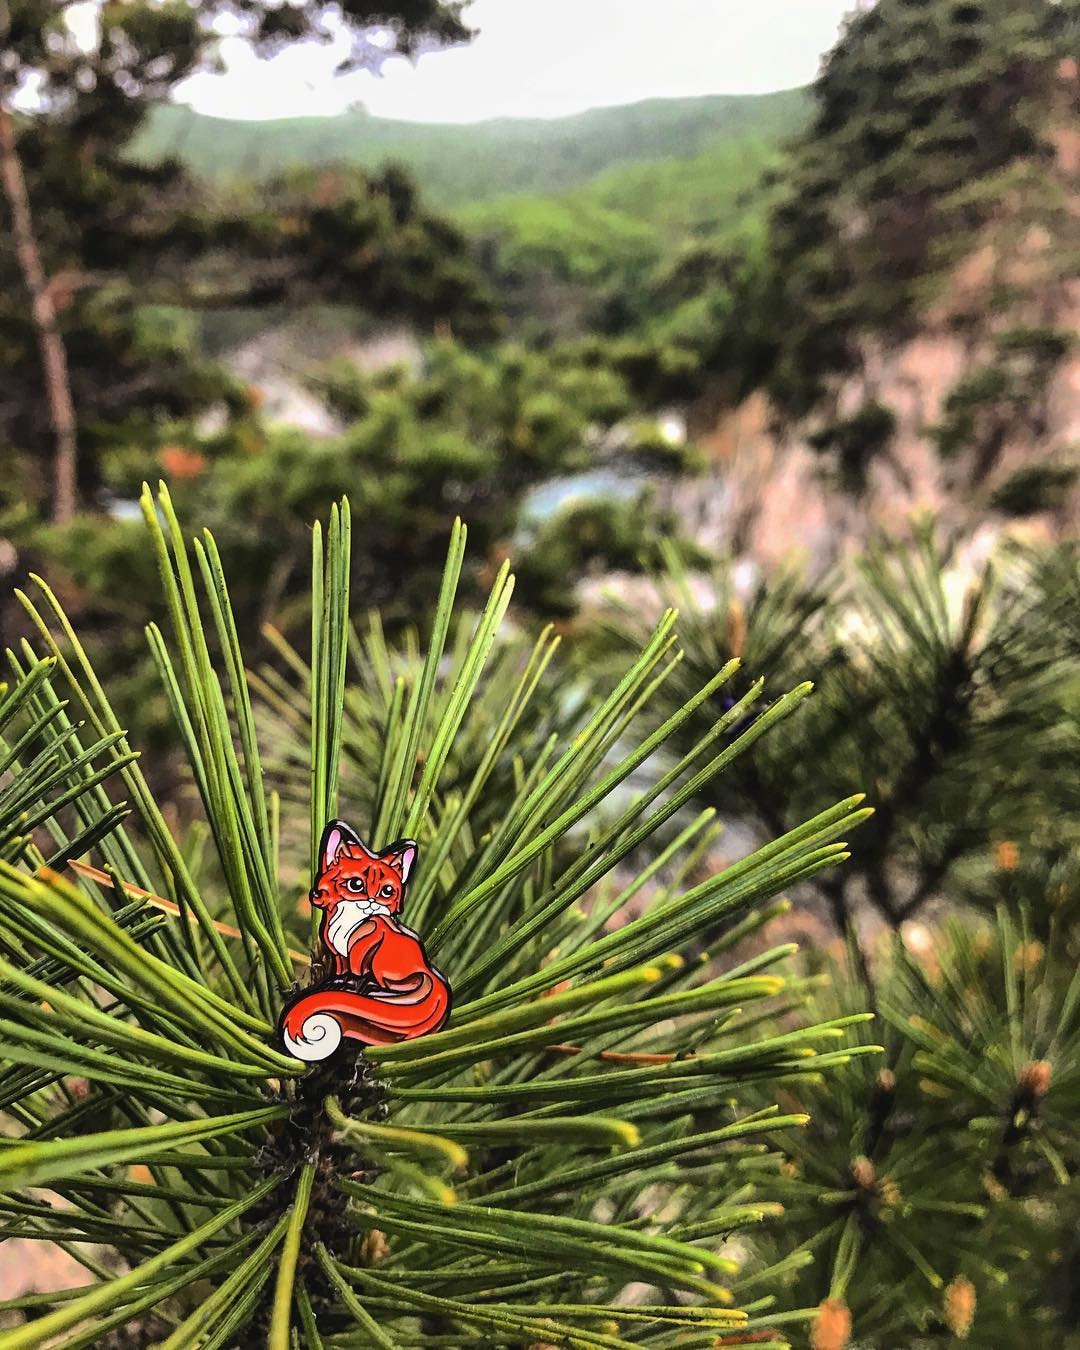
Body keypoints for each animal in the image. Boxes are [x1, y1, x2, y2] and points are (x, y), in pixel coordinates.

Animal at [278, 820, 450, 1063]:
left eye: (387, 891)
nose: (370, 901)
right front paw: (338, 983)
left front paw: (352, 985)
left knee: (402, 986)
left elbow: (356, 970)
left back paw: (377, 991)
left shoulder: (364, 945)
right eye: (356, 884)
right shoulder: (339, 955)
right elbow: (341, 972)